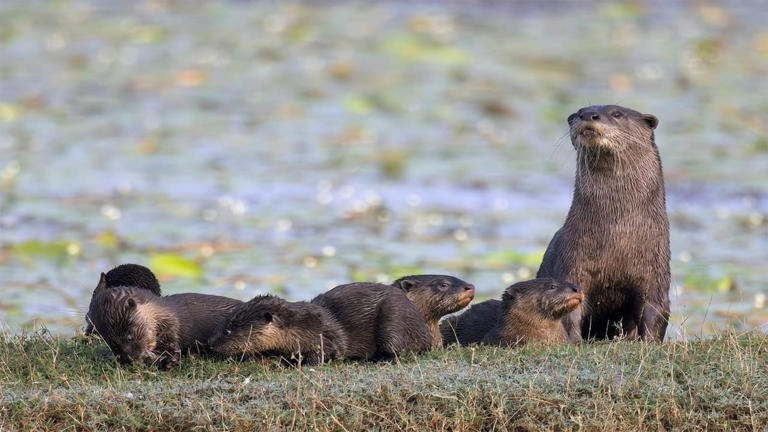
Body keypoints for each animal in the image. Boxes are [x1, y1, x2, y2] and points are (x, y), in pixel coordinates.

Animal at [86, 266, 242, 369]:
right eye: (113, 345)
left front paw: (168, 362)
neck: (164, 313)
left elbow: (173, 346)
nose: (129, 359)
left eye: (129, 337)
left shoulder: (172, 327)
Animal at [537, 105, 670, 341]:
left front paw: (649, 342)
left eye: (617, 114)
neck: (618, 232)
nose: (588, 115)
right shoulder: (573, 262)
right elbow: (569, 310)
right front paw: (574, 341)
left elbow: (655, 310)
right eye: (579, 111)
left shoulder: (656, 272)